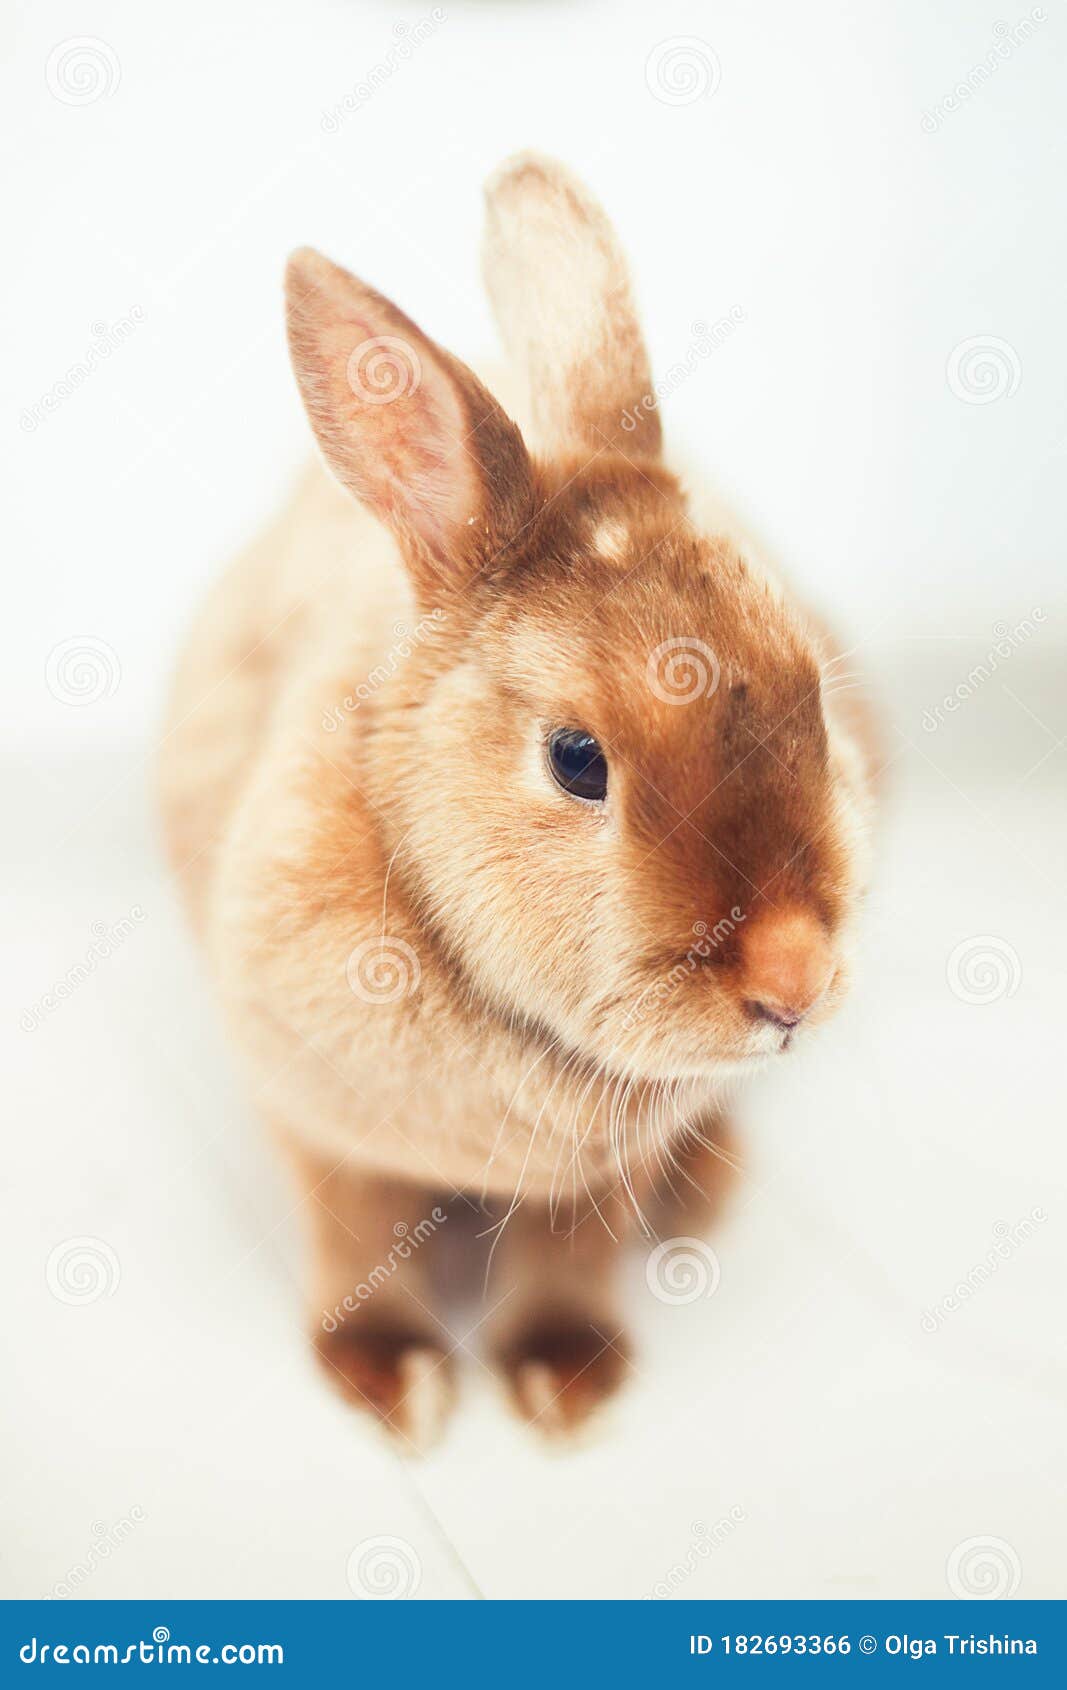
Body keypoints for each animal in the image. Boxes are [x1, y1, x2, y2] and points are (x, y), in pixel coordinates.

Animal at [159, 153, 878, 1451]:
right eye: (576, 759)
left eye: (809, 689)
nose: (791, 982)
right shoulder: (320, 1135)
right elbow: (355, 1245)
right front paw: (394, 1383)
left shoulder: (594, 1185)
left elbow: (568, 1264)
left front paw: (563, 1386)